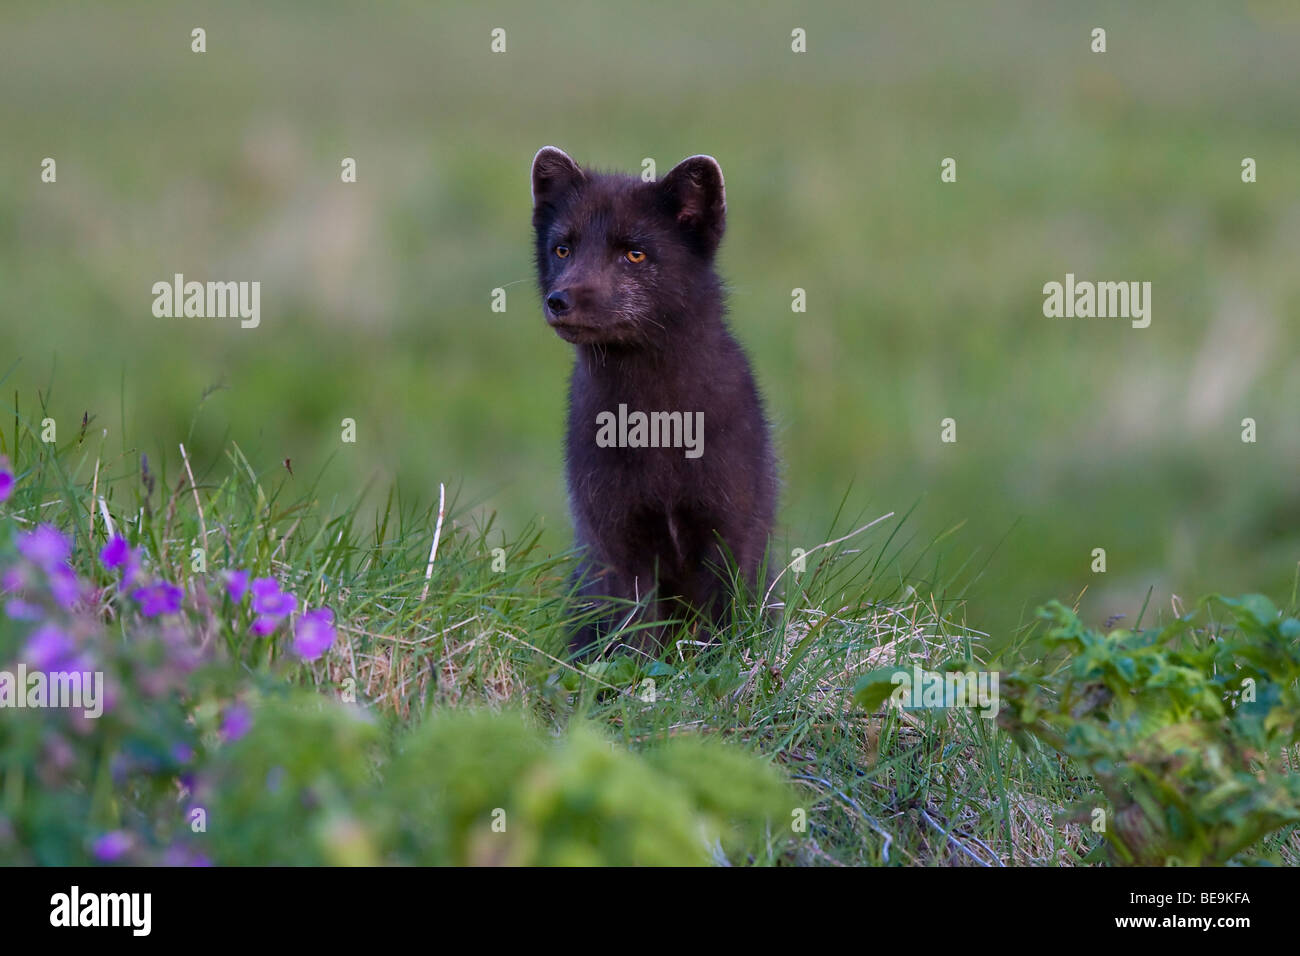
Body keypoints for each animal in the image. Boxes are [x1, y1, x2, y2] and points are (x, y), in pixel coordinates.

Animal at [530, 146, 778, 655]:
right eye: (563, 248)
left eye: (635, 253)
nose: (559, 300)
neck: (656, 426)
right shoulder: (614, 537)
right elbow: (635, 632)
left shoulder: (731, 528)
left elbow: (721, 625)